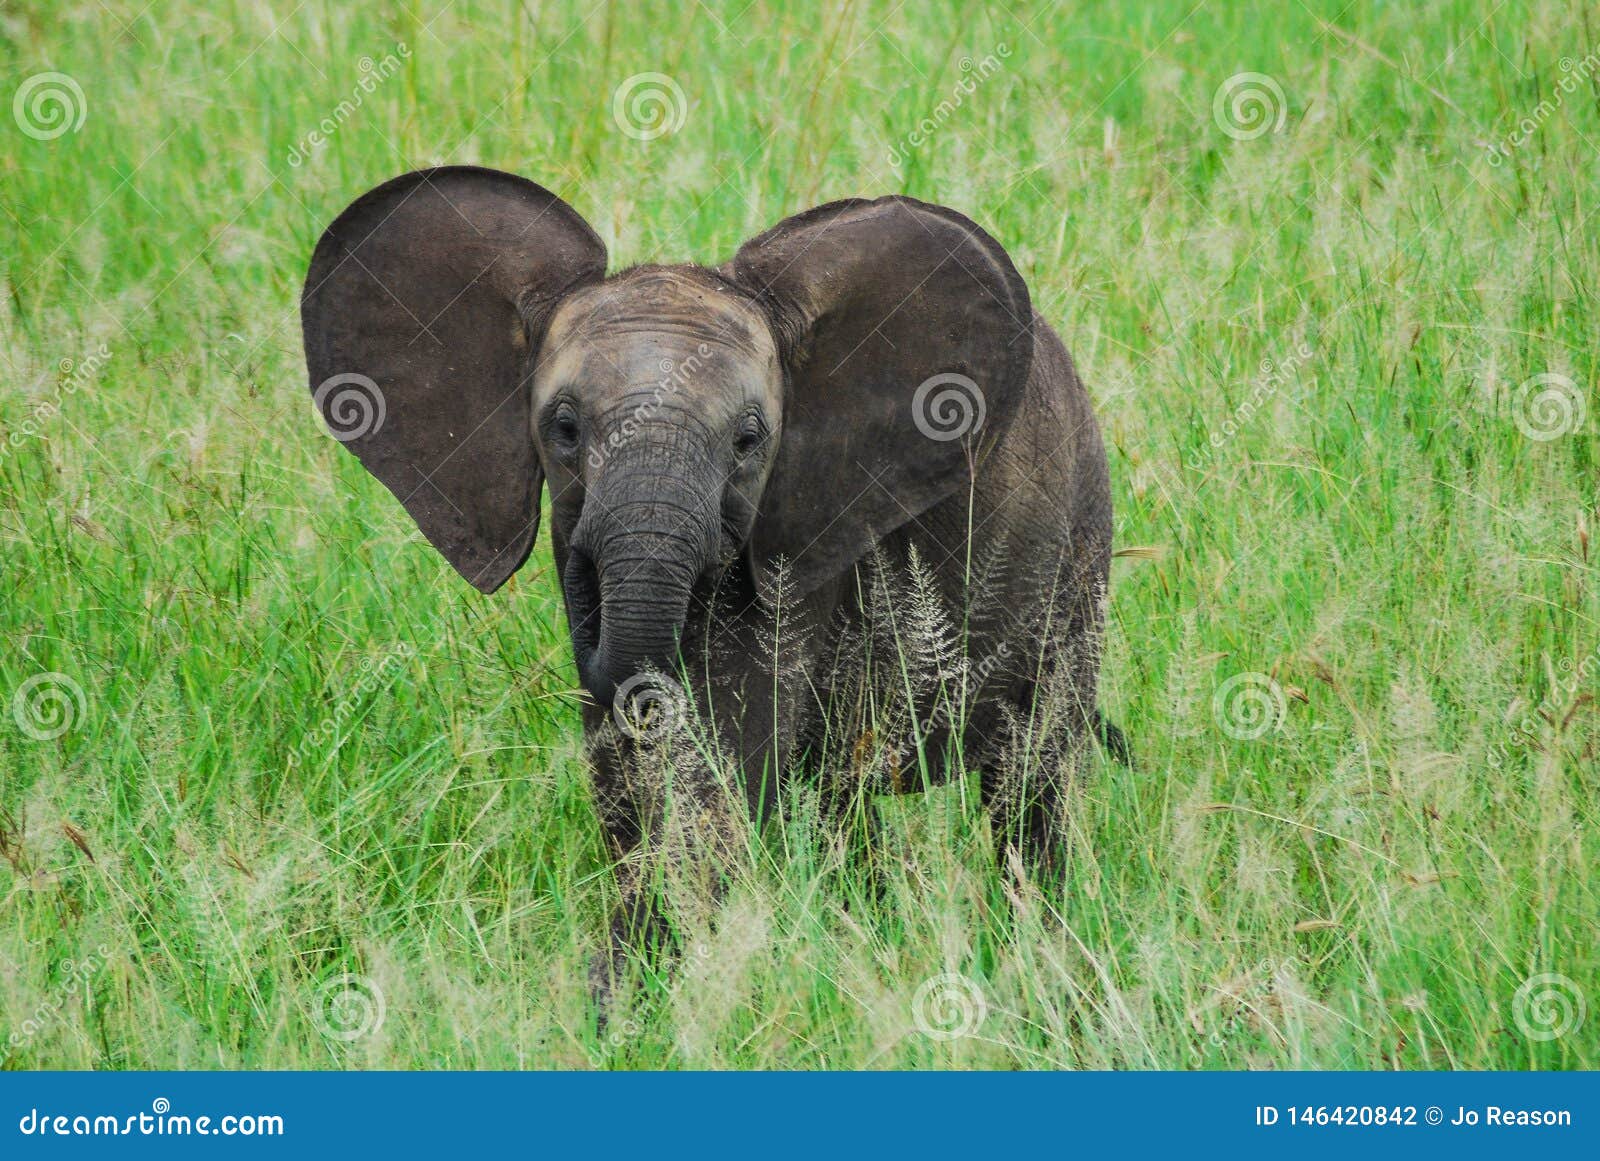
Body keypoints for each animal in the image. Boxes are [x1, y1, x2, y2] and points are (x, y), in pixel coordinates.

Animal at [300, 166, 1119, 994]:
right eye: (564, 429)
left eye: (749, 439)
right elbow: (627, 775)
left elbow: (719, 770)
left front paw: (635, 982)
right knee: (847, 804)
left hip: (1080, 550)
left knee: (1031, 780)